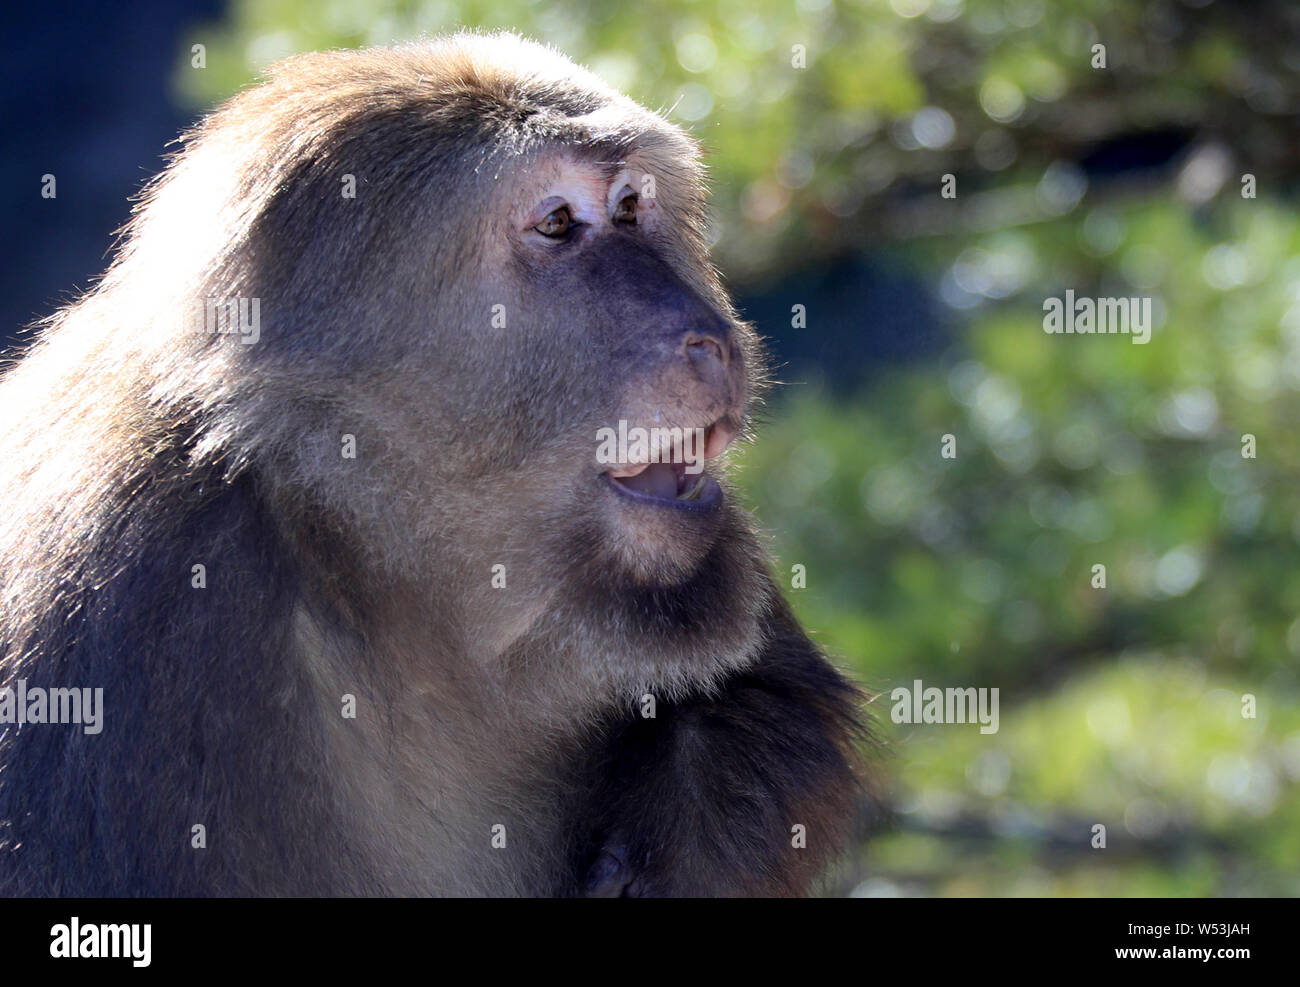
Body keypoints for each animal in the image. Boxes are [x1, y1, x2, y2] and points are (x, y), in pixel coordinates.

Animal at [0, 31, 867, 897]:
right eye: (559, 222)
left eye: (629, 207)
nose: (712, 335)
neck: (366, 577)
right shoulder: (108, 596)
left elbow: (780, 698)